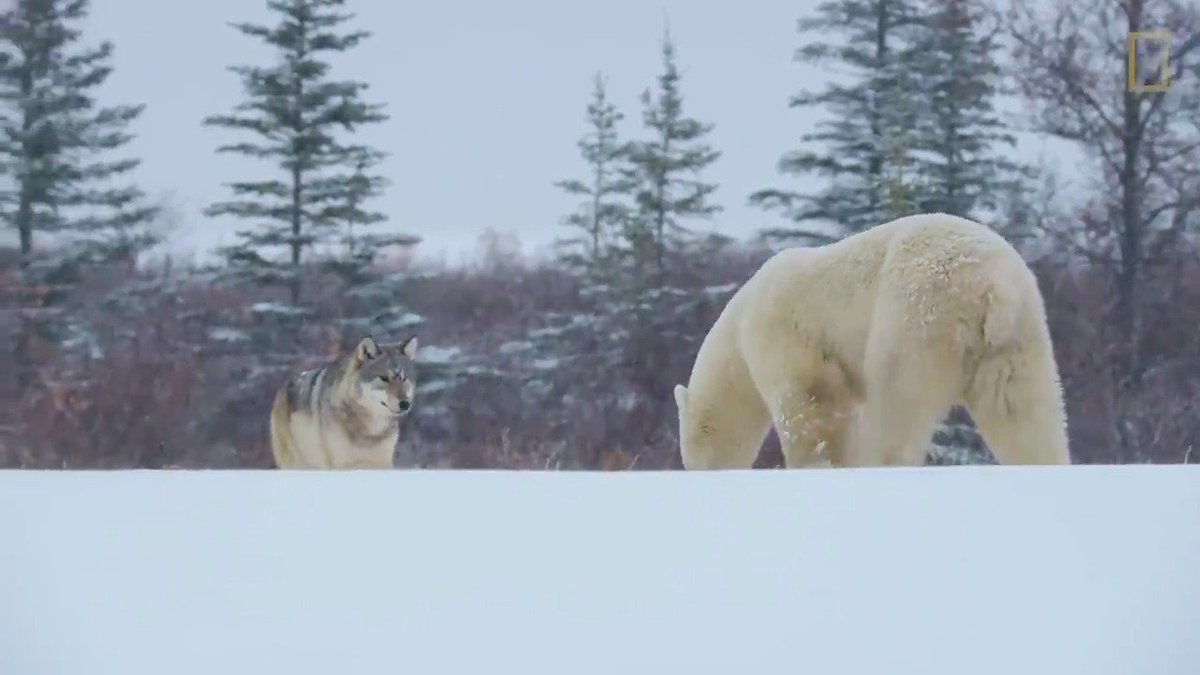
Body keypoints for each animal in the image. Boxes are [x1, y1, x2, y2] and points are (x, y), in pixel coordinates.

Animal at [672, 212, 1070, 469]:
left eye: (691, 449)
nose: (699, 472)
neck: (737, 327)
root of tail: (992, 286)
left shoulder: (781, 334)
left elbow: (808, 405)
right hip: (1018, 335)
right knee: (1023, 409)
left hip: (916, 311)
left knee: (898, 400)